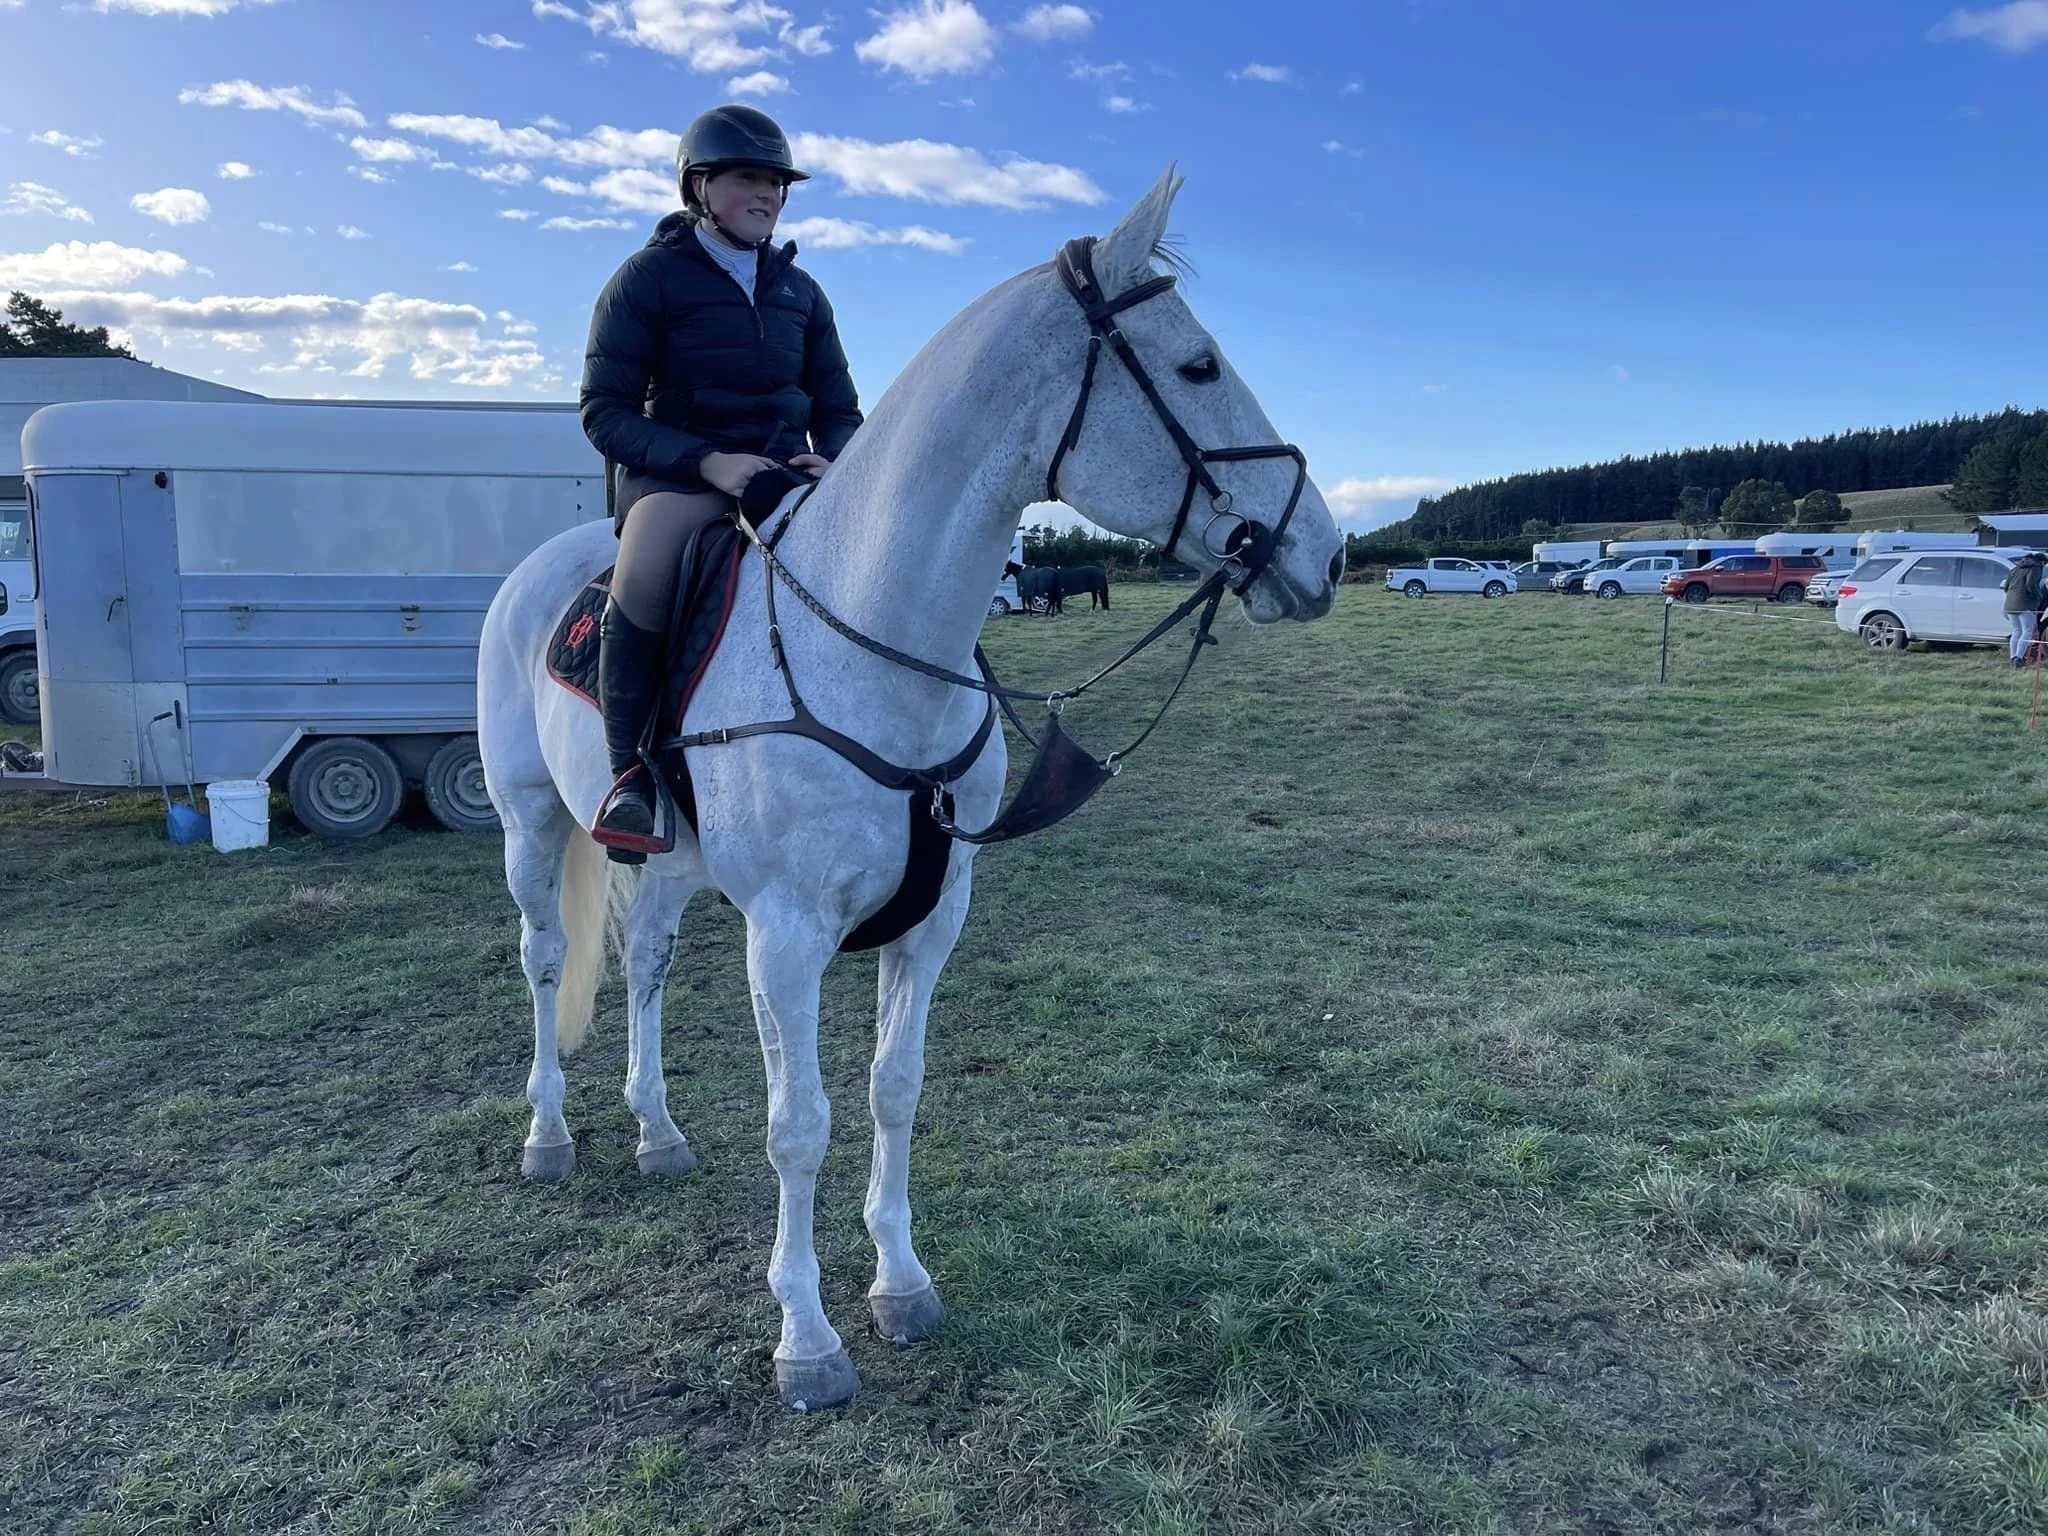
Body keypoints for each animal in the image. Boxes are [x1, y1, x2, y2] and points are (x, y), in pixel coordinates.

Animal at [476, 168, 1344, 1412]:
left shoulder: (932, 923)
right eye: (1194, 368)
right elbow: (798, 1125)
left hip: (669, 864)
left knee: (641, 966)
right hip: (529, 824)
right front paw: (805, 1339)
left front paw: (898, 1284)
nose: (1322, 554)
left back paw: (655, 1132)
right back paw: (547, 1135)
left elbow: (895, 1087)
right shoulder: (786, 936)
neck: (873, 643)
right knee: (547, 962)